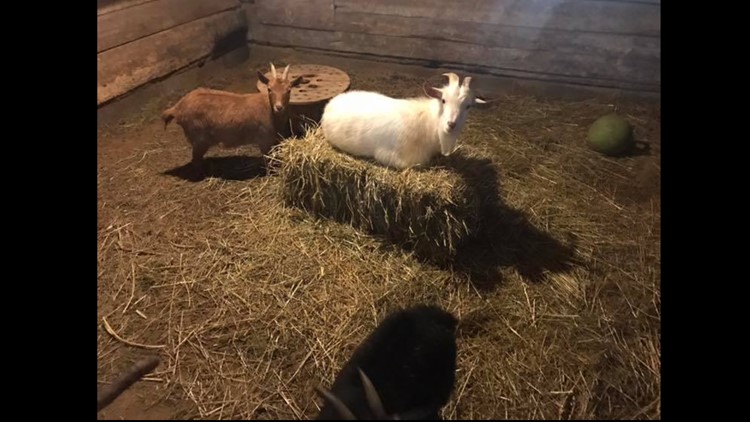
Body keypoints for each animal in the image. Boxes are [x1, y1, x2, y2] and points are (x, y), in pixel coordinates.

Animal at [161, 63, 302, 175]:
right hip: (198, 138)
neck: (269, 109)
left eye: (289, 90)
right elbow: (268, 160)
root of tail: (177, 108)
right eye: (269, 89)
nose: (279, 107)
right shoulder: (264, 140)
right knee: (195, 159)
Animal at [320, 73, 490, 170]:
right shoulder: (394, 158)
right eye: (443, 100)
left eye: (468, 106)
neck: (428, 123)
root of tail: (331, 102)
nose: (451, 124)